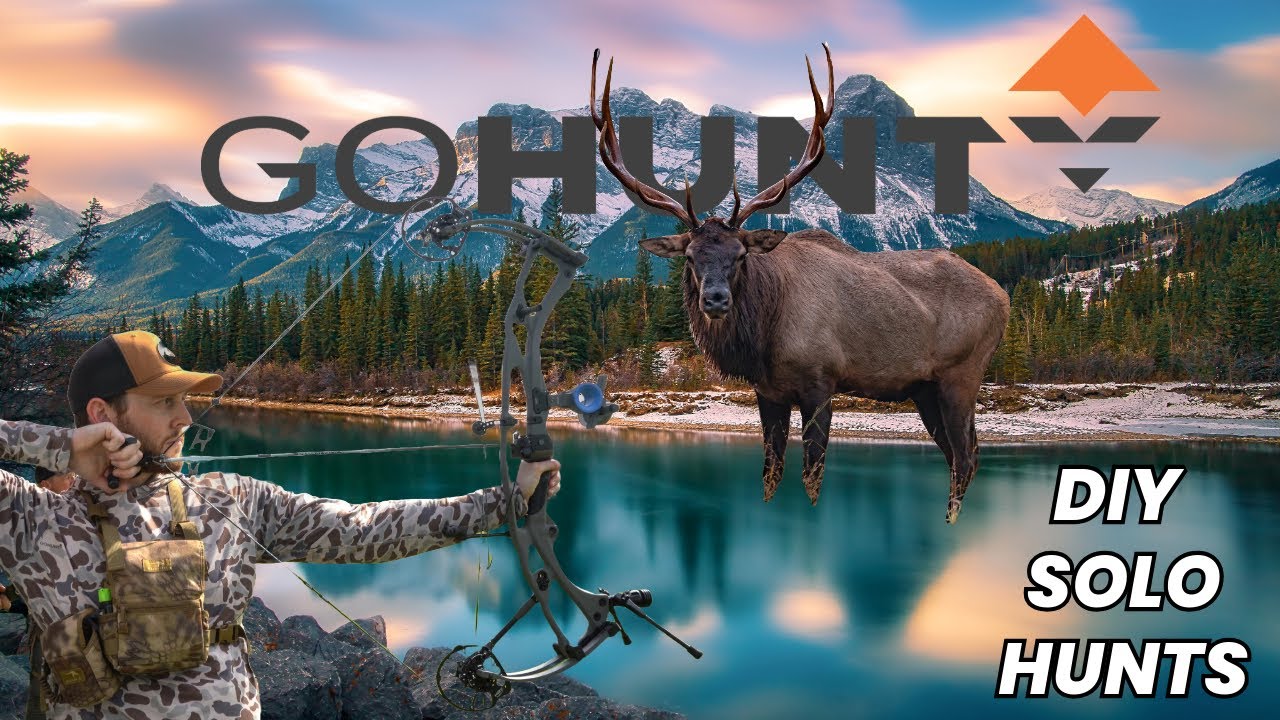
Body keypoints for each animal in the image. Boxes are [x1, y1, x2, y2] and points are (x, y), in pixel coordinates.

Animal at [590, 46, 1010, 523]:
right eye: (691, 257)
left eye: (741, 255)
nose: (715, 299)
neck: (764, 340)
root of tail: (1004, 297)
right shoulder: (768, 392)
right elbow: (771, 473)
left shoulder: (820, 381)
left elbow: (812, 474)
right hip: (925, 389)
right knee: (963, 454)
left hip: (963, 373)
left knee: (965, 454)